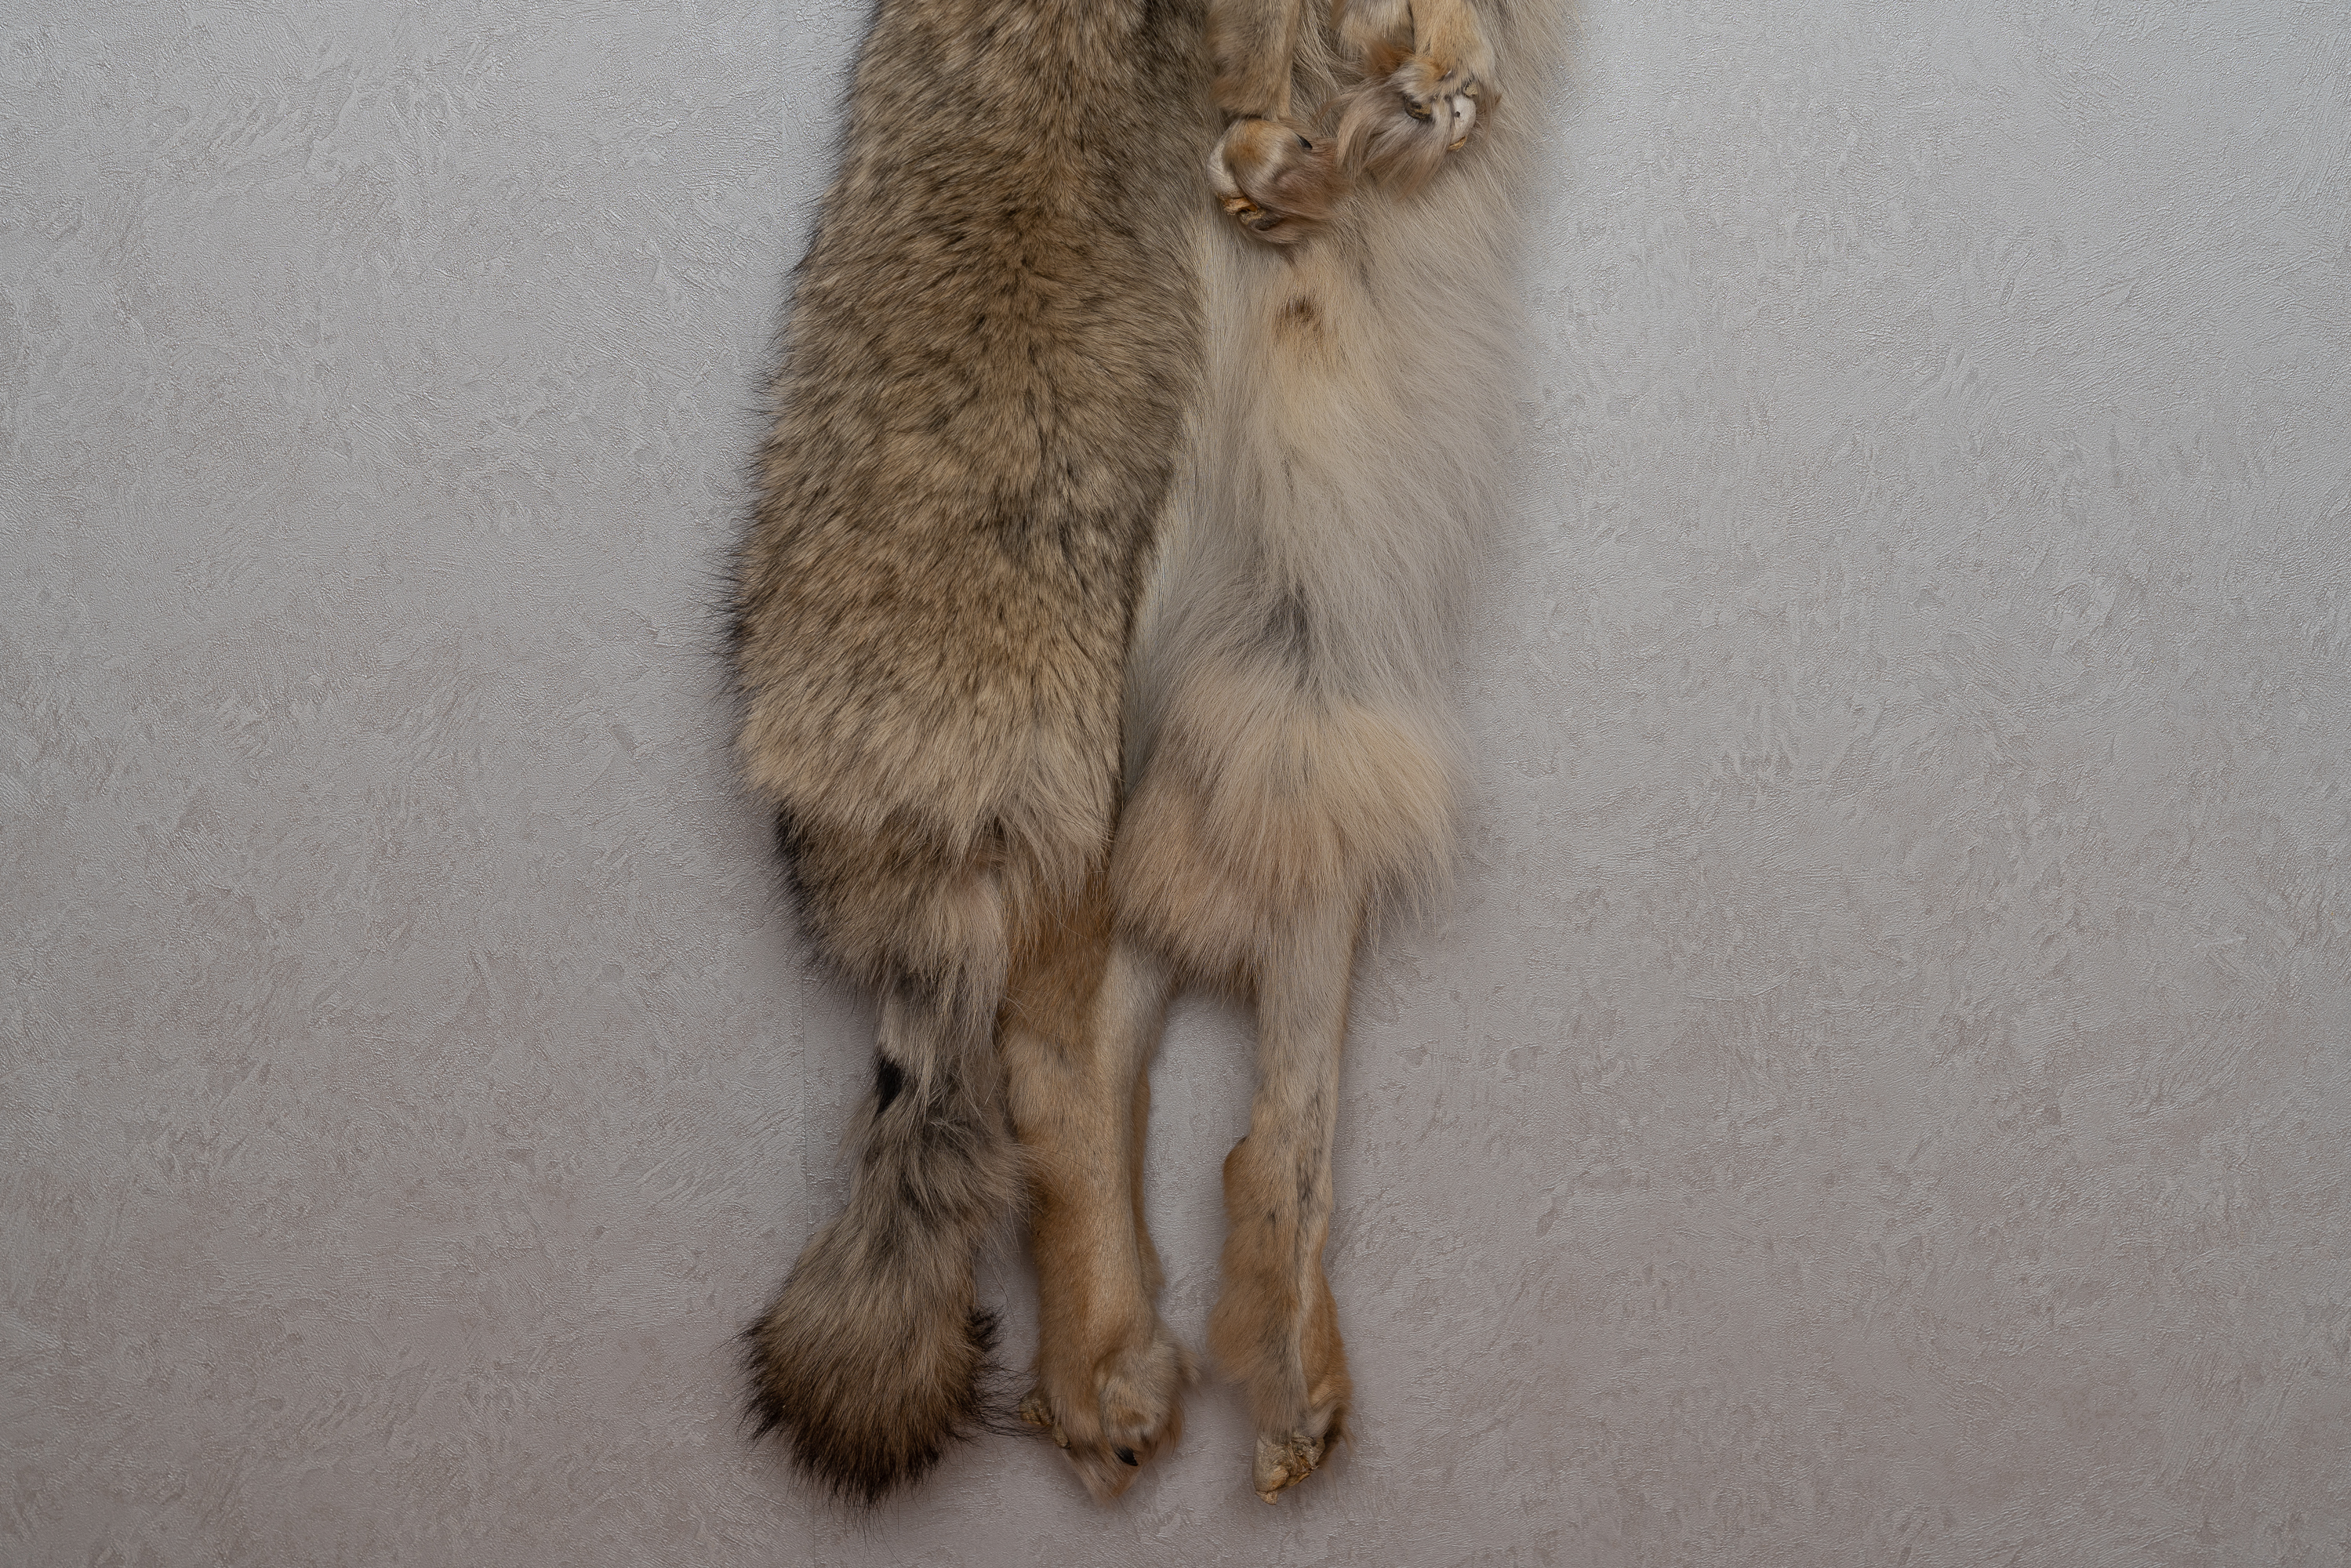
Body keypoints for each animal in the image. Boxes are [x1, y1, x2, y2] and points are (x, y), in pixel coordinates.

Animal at [732, 0, 1553, 1506]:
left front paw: (1394, 113)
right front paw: (1382, 102)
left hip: (1297, 732)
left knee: (1262, 1117)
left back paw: (1273, 1384)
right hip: (1133, 777)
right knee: (1055, 1058)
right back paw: (1113, 1377)